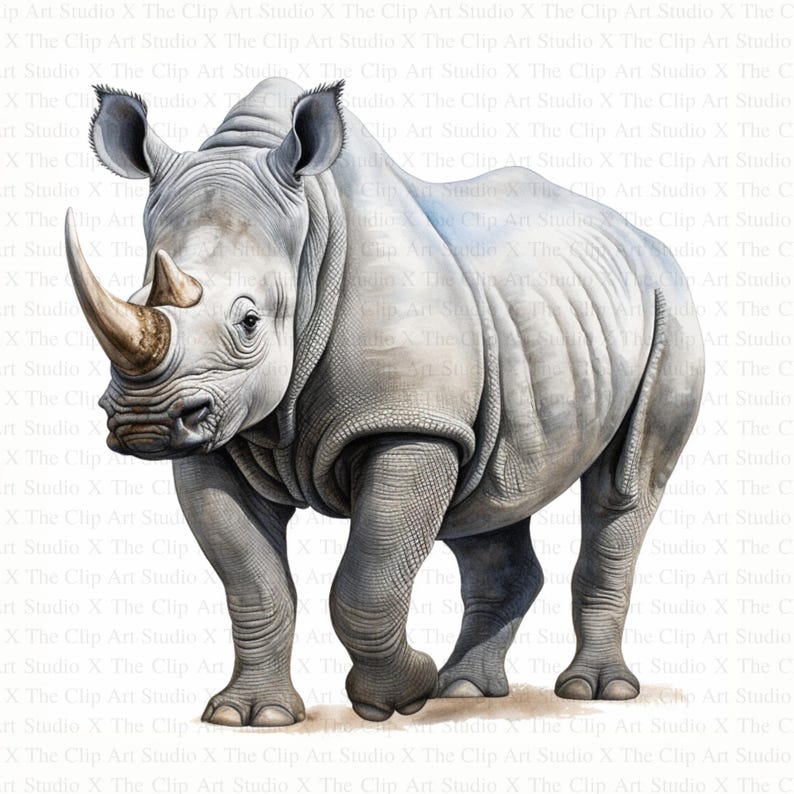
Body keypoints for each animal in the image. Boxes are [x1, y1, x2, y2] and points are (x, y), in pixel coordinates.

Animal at [66, 78, 704, 726]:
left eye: (248, 322)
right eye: (134, 294)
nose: (145, 422)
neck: (309, 234)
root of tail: (641, 237)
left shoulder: (411, 424)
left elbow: (366, 582)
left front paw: (395, 698)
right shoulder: (216, 436)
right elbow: (252, 584)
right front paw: (249, 717)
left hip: (669, 303)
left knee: (625, 486)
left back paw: (594, 691)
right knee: (490, 501)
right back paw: (465, 690)